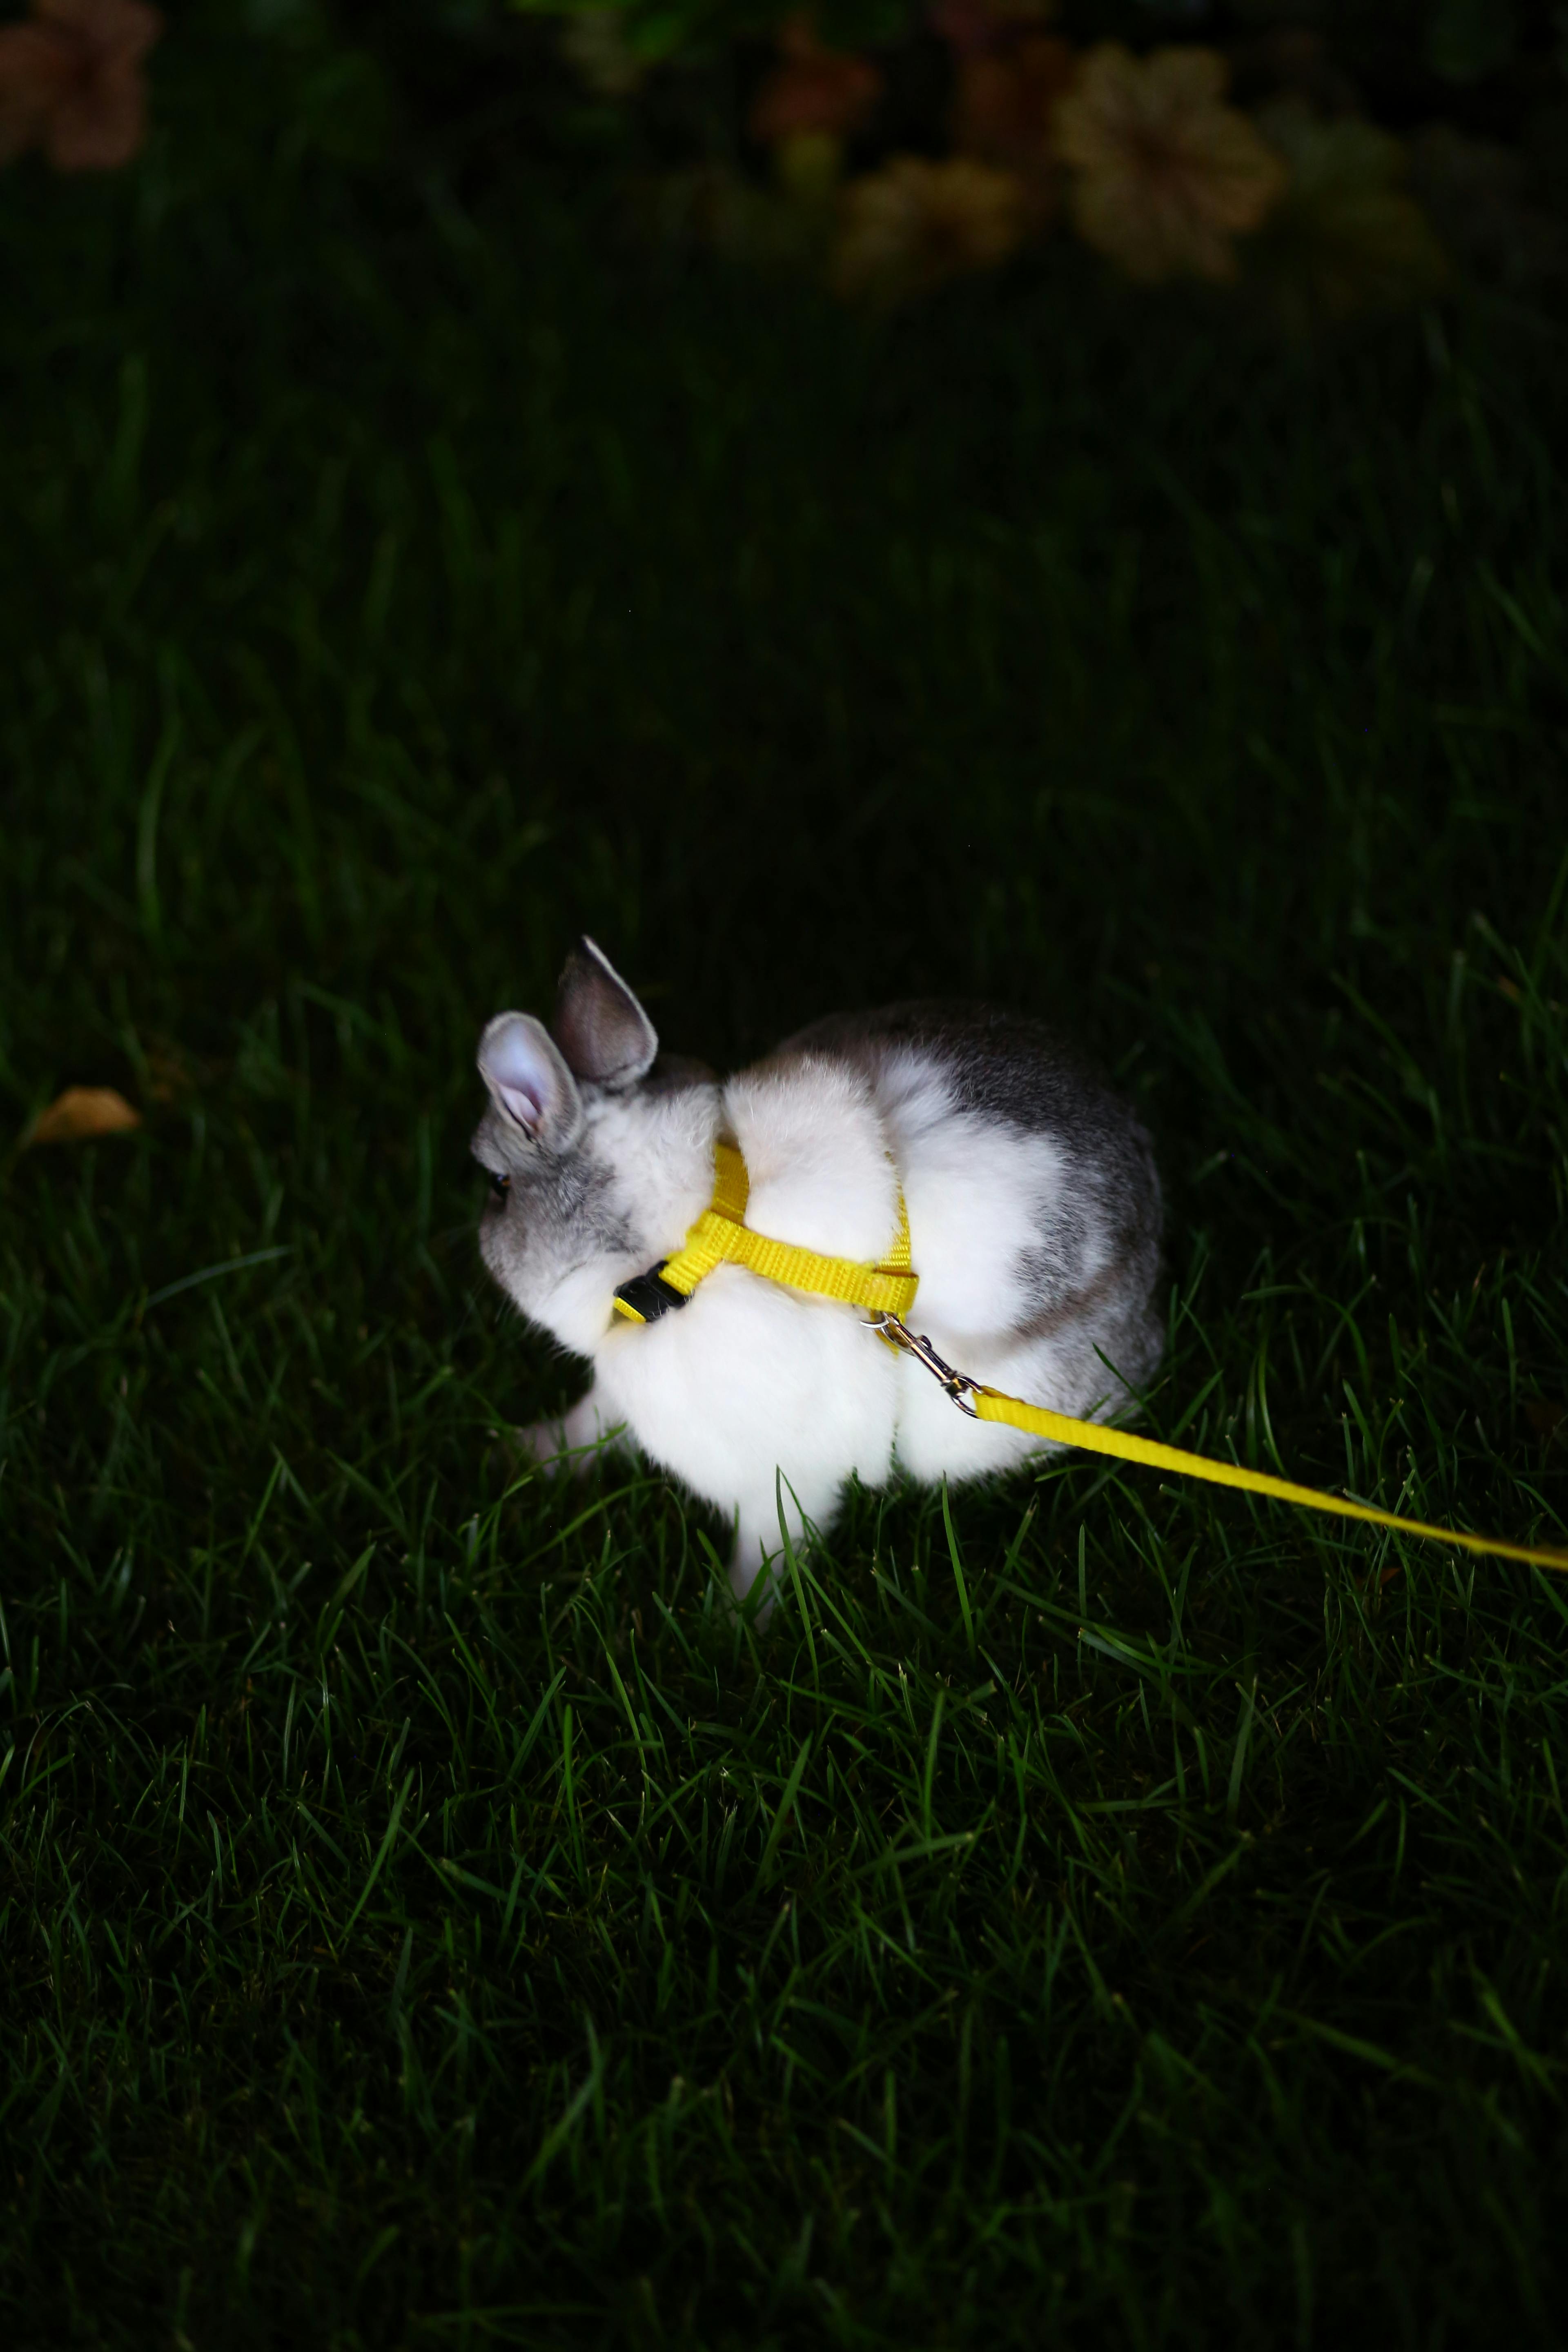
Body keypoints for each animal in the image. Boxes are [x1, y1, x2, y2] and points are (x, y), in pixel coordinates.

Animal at [473, 939, 1163, 1606]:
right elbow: (592, 1421)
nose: (481, 1243)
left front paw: (735, 1619)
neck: (701, 1235)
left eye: (499, 1187)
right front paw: (527, 1452)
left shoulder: (781, 1478)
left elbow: (770, 1546)